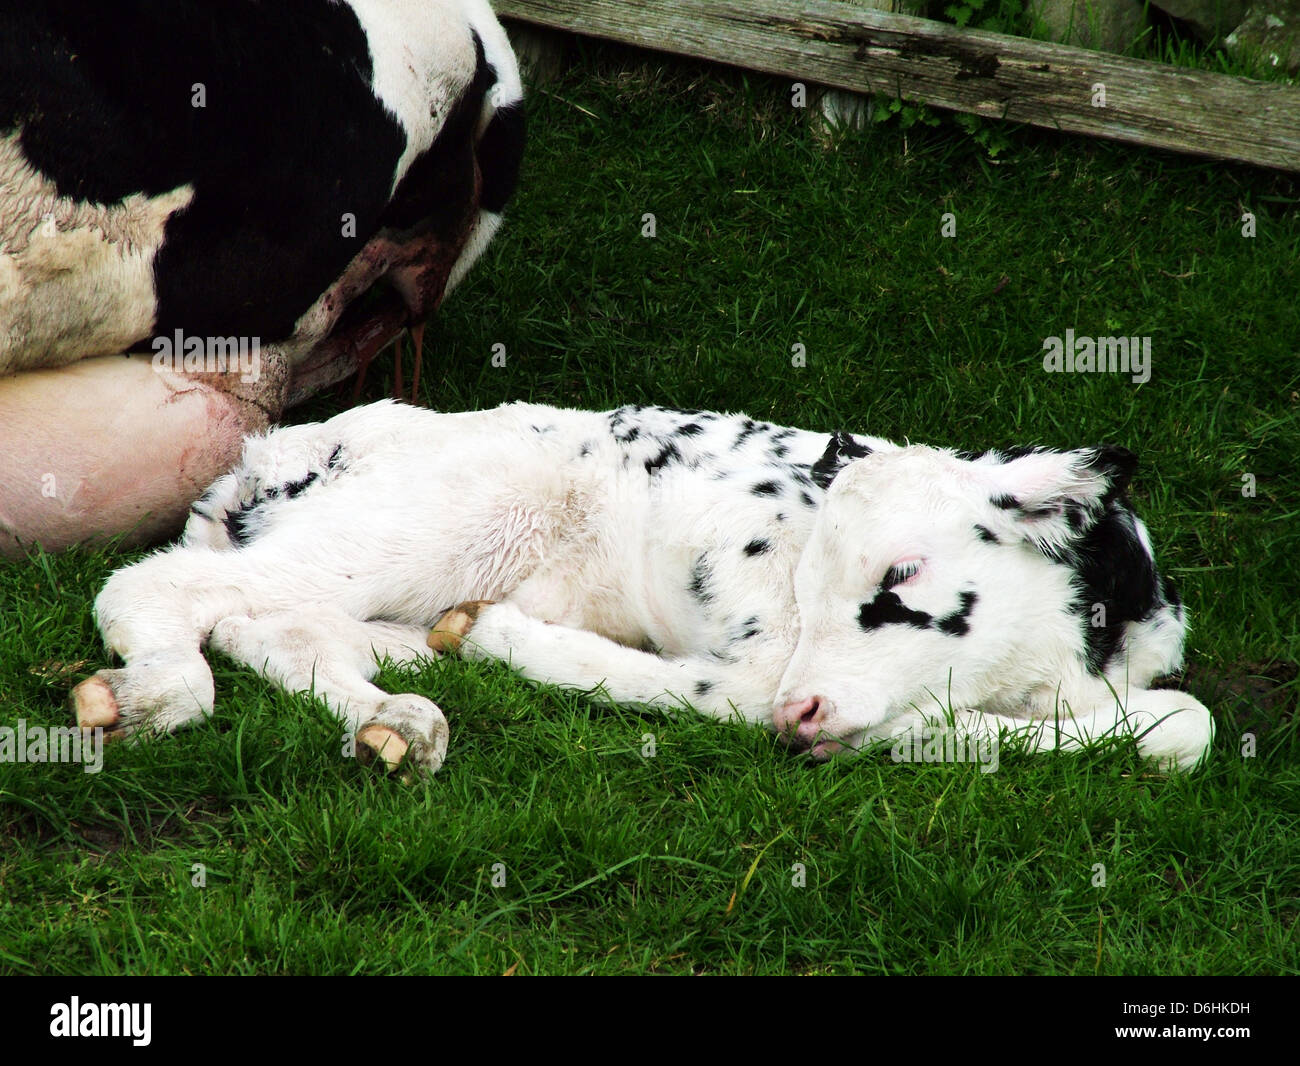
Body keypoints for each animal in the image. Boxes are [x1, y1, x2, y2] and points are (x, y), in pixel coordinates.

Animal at [70, 399, 1215, 778]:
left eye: (901, 575)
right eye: (818, 574)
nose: (812, 711)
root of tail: (272, 454)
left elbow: (1186, 726)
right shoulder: (760, 666)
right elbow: (720, 694)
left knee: (270, 624)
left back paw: (397, 721)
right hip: (418, 524)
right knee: (162, 587)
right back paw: (150, 692)